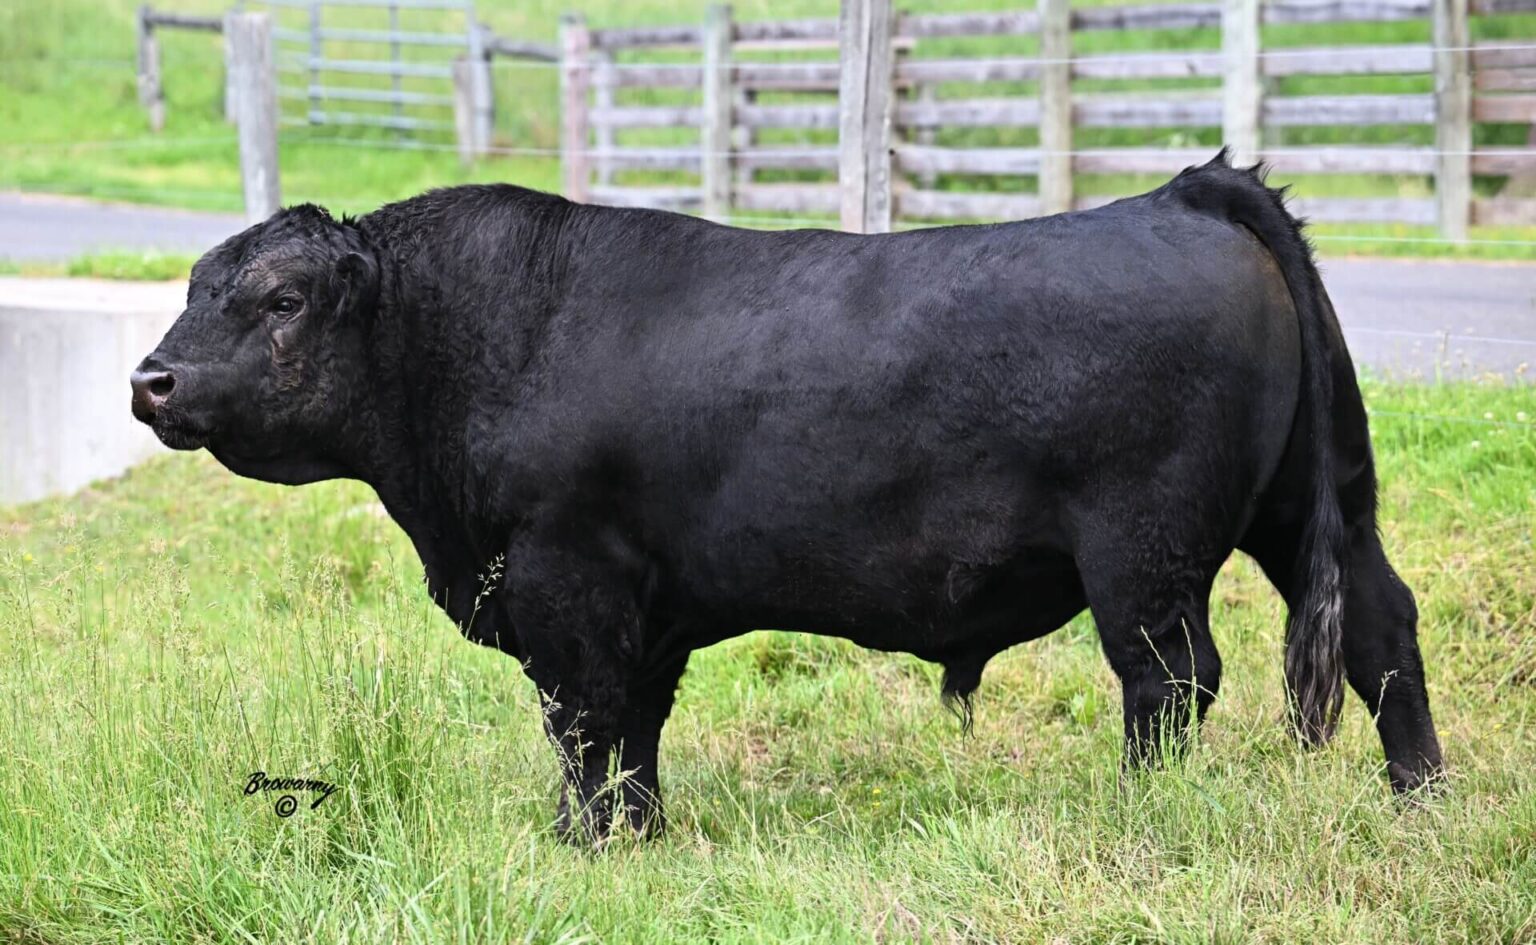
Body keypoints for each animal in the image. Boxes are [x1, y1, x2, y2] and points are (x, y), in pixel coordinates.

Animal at [130, 151, 1443, 842]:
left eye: (283, 298)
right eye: (194, 286)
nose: (152, 380)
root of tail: (1185, 192)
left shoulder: (567, 581)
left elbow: (584, 721)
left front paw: (580, 844)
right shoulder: (644, 606)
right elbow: (634, 730)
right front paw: (638, 838)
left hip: (1147, 550)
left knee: (1170, 680)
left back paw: (1141, 818)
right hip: (1313, 504)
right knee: (1380, 624)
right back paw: (1419, 796)